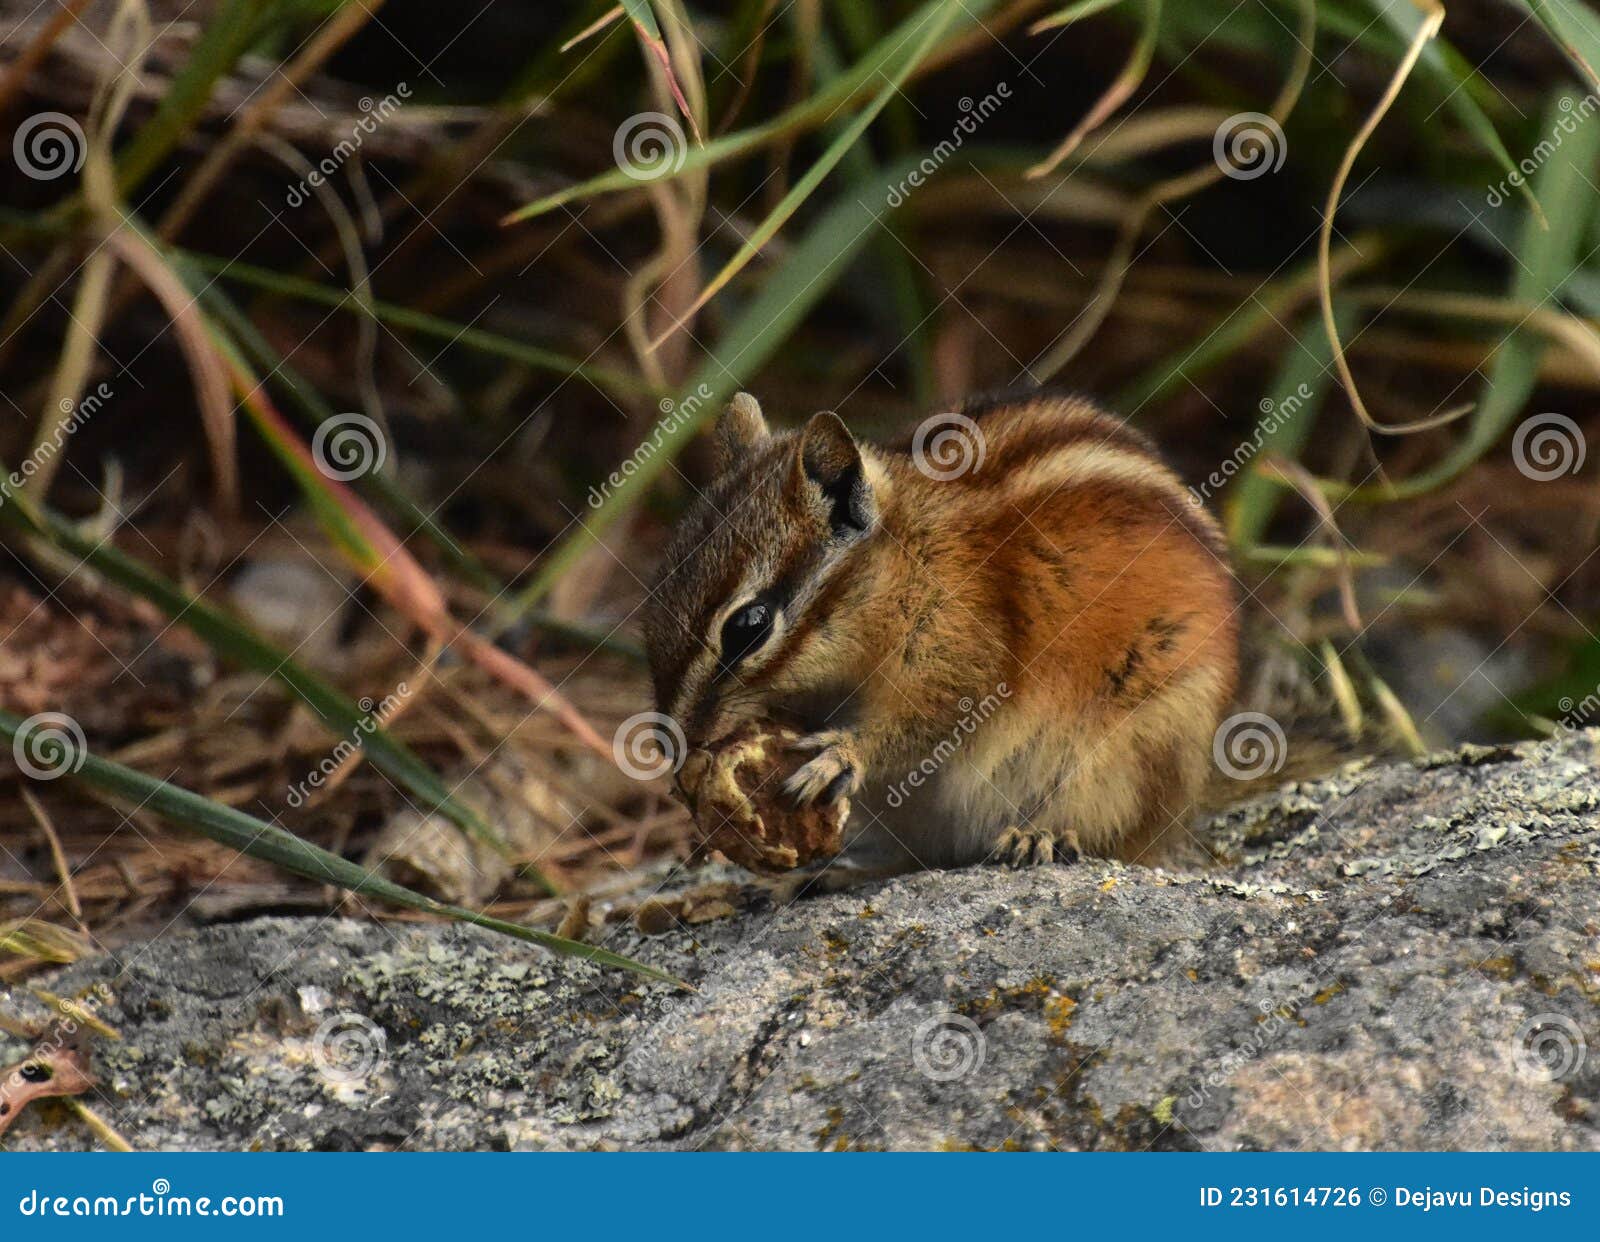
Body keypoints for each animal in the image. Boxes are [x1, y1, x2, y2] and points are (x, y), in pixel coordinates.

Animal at [642, 389, 1243, 889]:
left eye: (749, 626)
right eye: (655, 593)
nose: (676, 746)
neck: (908, 559)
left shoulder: (961, 652)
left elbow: (934, 720)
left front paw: (842, 754)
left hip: (1136, 751)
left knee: (1109, 834)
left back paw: (1041, 835)